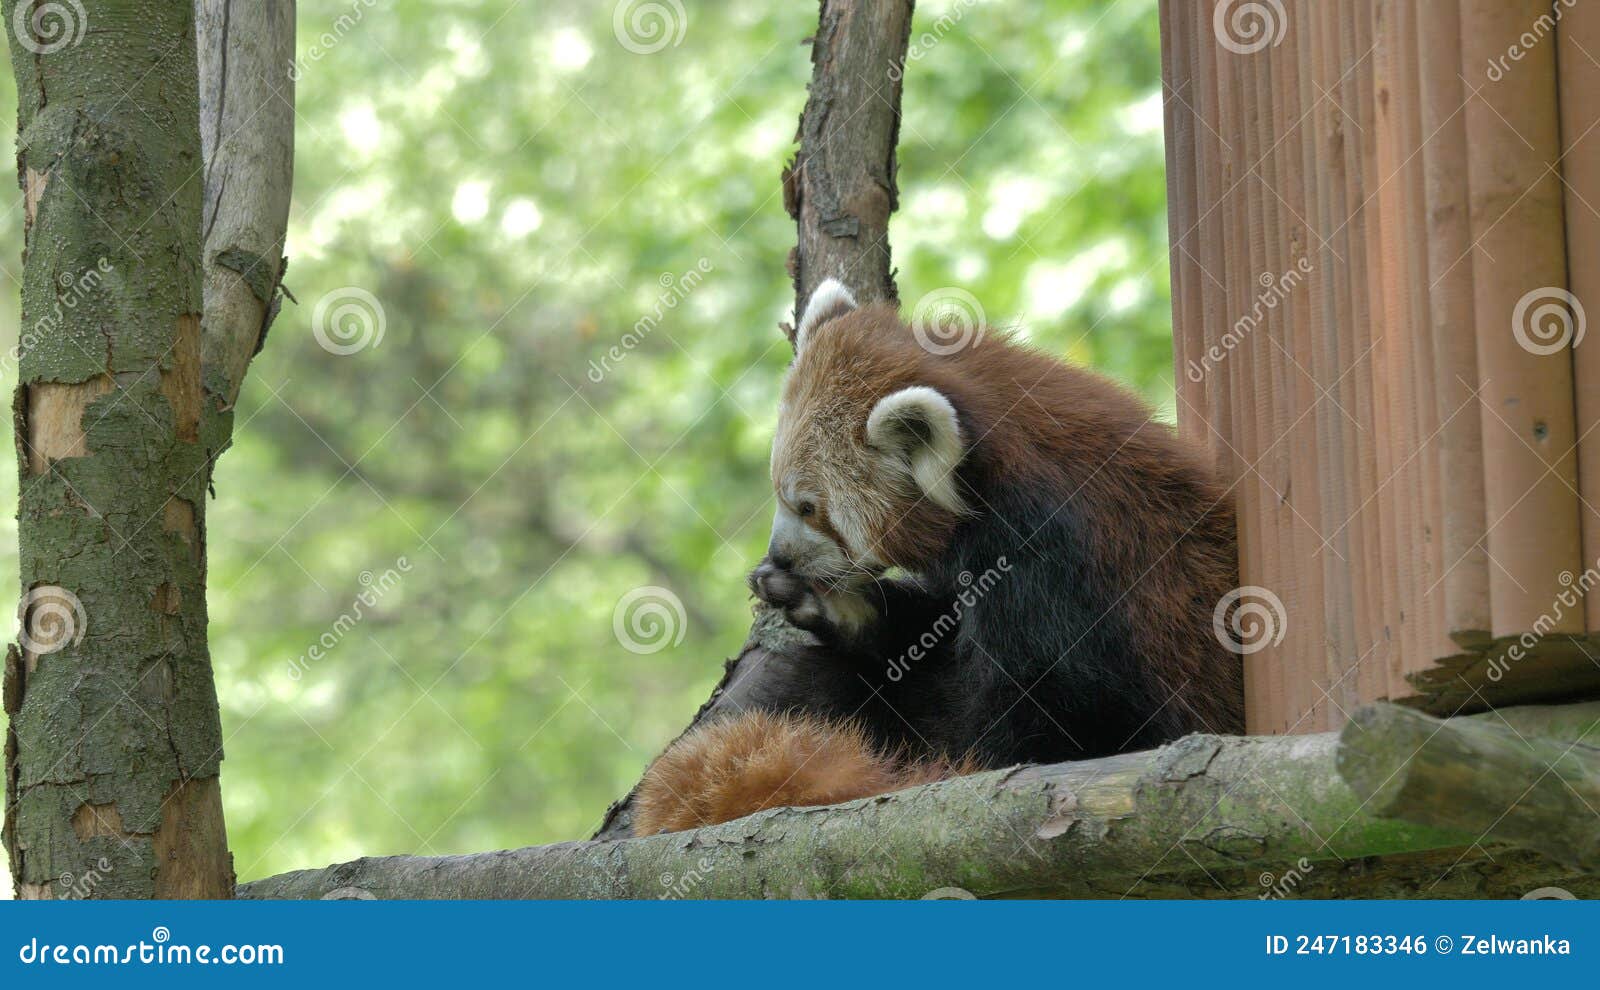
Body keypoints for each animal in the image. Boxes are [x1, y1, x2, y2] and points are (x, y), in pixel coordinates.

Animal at [633, 280, 1243, 835]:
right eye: (778, 494)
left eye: (808, 507)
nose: (779, 556)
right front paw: (842, 607)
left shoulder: (1049, 561)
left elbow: (1062, 718)